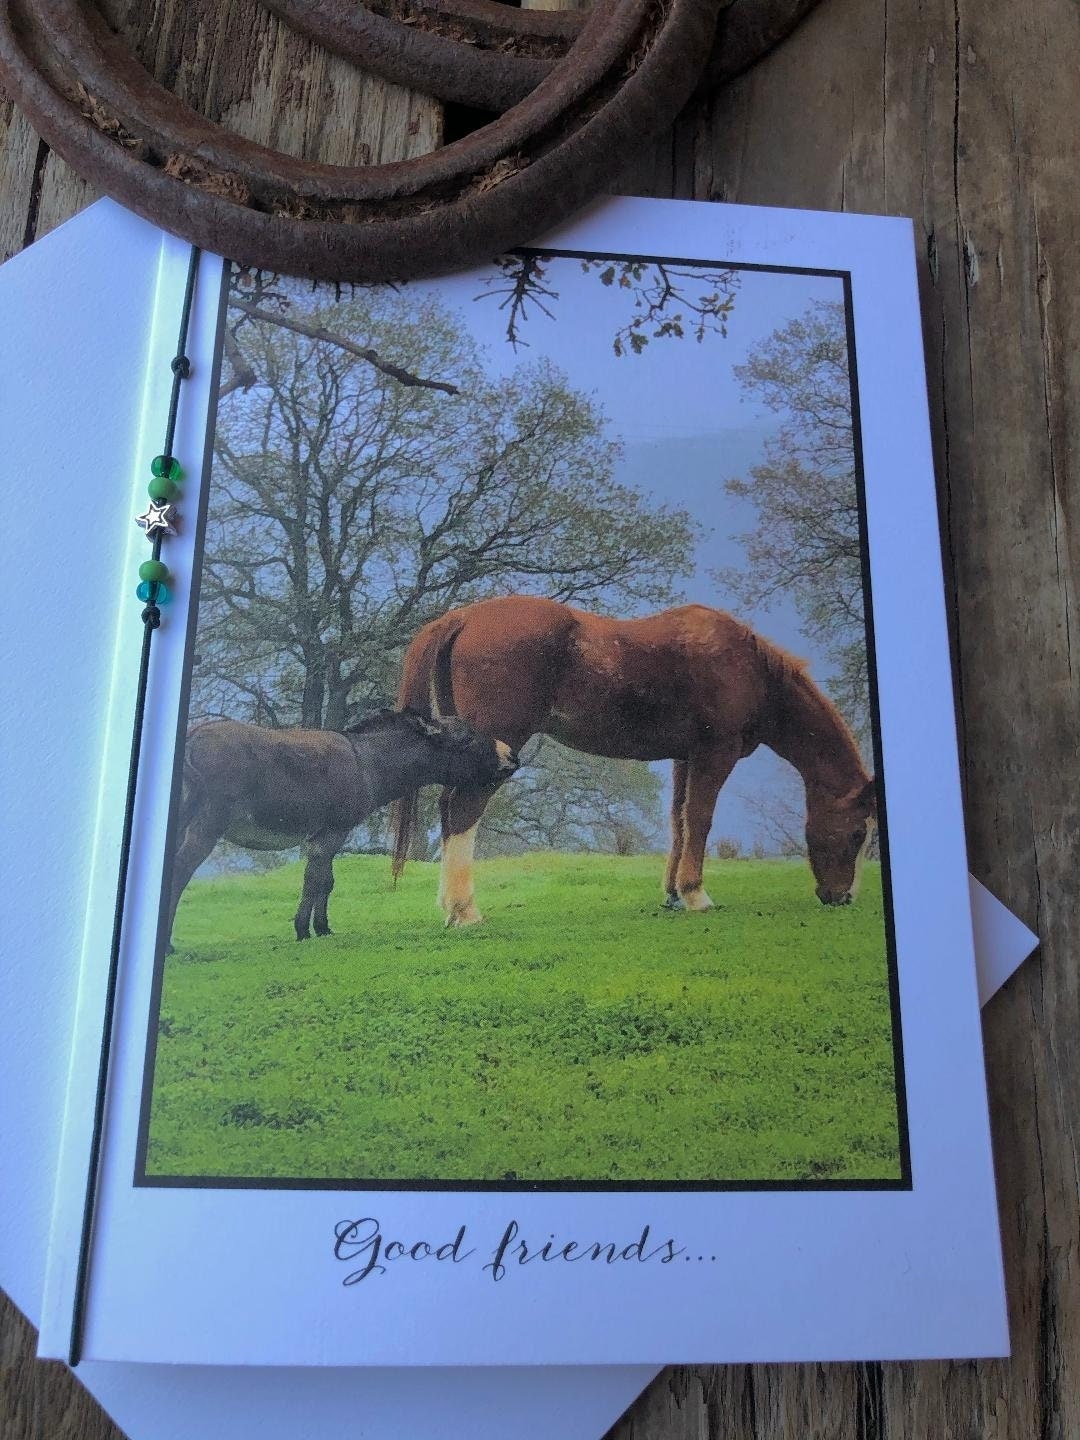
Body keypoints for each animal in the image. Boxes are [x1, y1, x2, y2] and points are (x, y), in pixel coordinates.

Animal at [167, 709, 518, 946]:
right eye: (467, 738)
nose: (511, 756)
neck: (367, 762)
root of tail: (194, 734)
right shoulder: (334, 831)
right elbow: (316, 880)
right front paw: (304, 931)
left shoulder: (325, 836)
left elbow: (325, 881)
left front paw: (321, 929)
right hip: (209, 822)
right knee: (181, 869)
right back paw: (168, 944)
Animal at [391, 595, 877, 926]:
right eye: (857, 833)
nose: (843, 898)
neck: (748, 667)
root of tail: (464, 617)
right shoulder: (714, 754)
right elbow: (700, 819)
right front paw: (697, 896)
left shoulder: (685, 758)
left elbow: (680, 822)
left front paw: (673, 895)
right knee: (464, 810)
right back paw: (465, 910)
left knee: (449, 808)